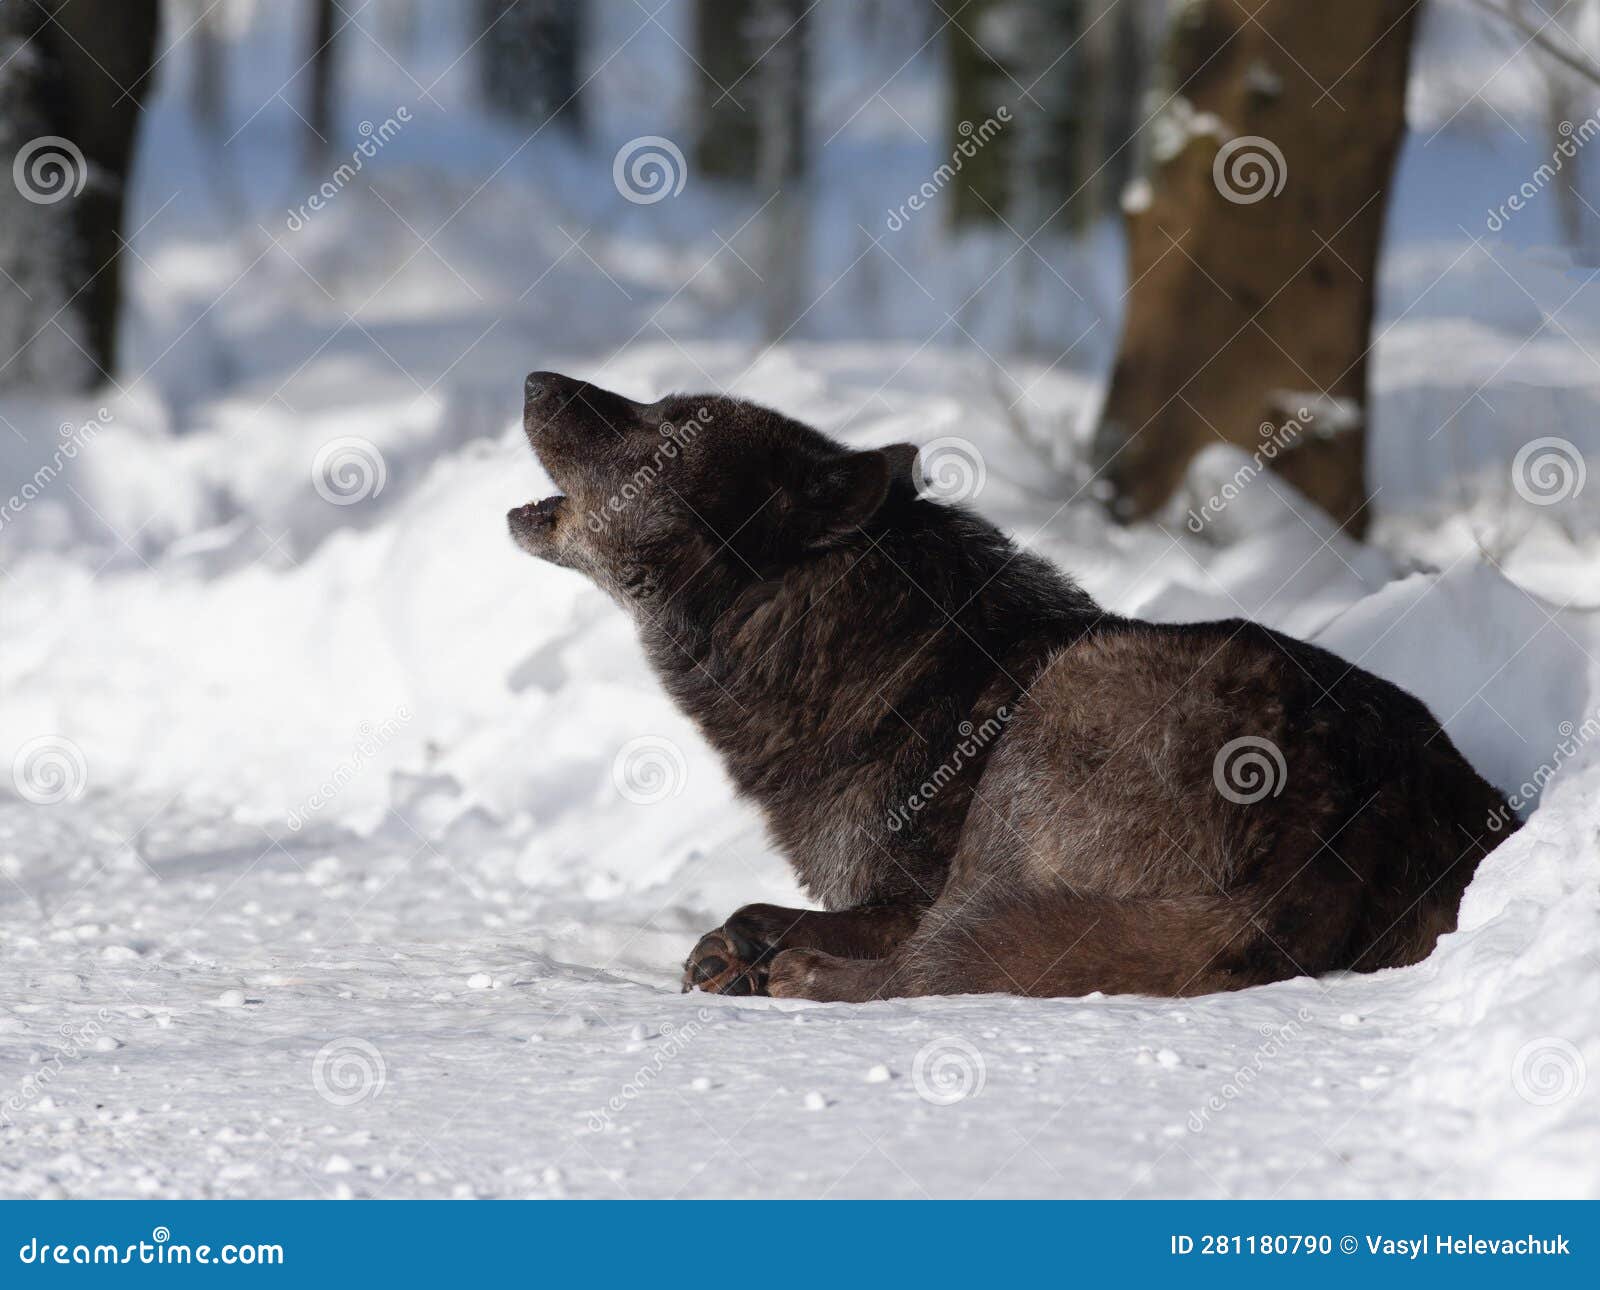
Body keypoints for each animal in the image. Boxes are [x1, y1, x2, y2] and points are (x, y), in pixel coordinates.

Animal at [508, 371, 1513, 1002]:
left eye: (671, 422)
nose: (533, 381)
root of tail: (1337, 787)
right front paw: (730, 952)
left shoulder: (909, 893)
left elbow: (825, 920)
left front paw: (751, 956)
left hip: (1050, 724)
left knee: (928, 971)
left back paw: (806, 979)